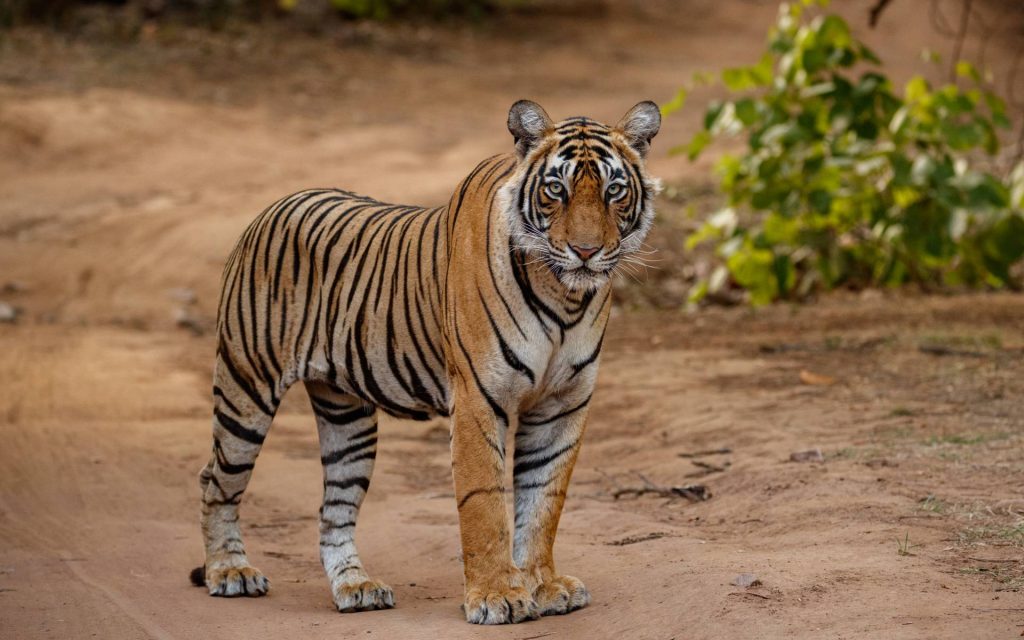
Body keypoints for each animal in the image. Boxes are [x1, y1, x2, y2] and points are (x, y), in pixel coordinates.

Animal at [191, 99, 661, 624]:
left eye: (614, 190)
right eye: (555, 189)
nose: (585, 251)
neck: (565, 297)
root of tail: (271, 208)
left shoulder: (562, 405)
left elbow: (544, 500)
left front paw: (543, 585)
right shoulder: (480, 400)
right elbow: (484, 502)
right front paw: (497, 596)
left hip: (347, 420)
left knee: (334, 510)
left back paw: (356, 586)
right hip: (245, 388)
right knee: (215, 480)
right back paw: (230, 571)